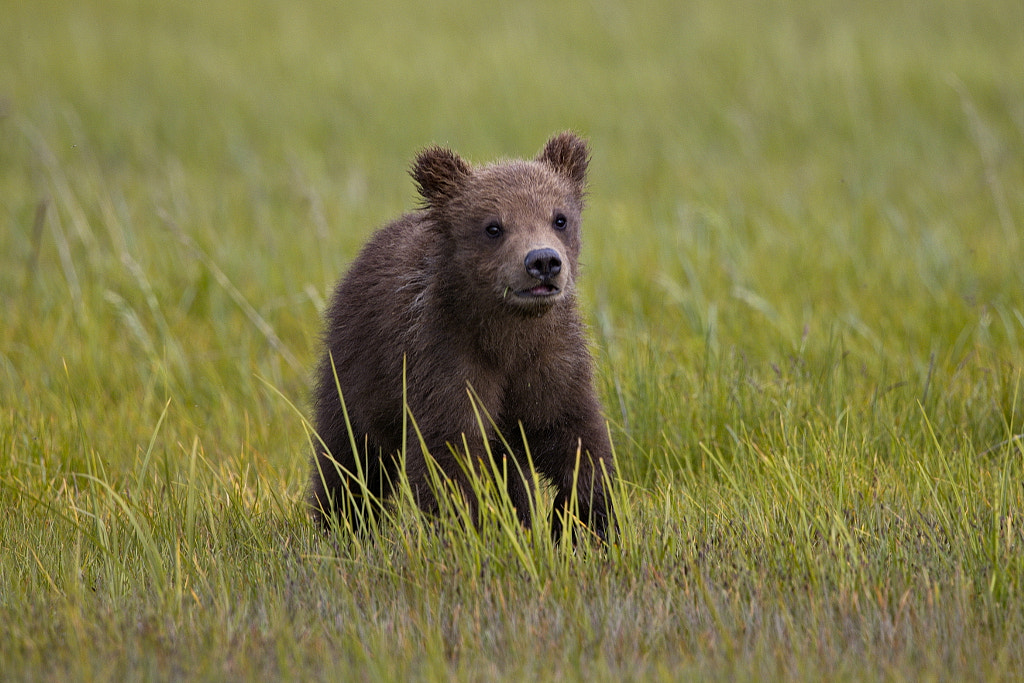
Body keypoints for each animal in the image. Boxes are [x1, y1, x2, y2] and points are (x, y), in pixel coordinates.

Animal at [309, 131, 615, 543]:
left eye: (560, 218)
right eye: (493, 226)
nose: (543, 261)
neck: (507, 335)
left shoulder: (551, 361)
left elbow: (575, 437)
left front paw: (586, 525)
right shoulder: (445, 356)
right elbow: (450, 453)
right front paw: (468, 530)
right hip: (359, 369)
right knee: (350, 454)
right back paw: (341, 524)